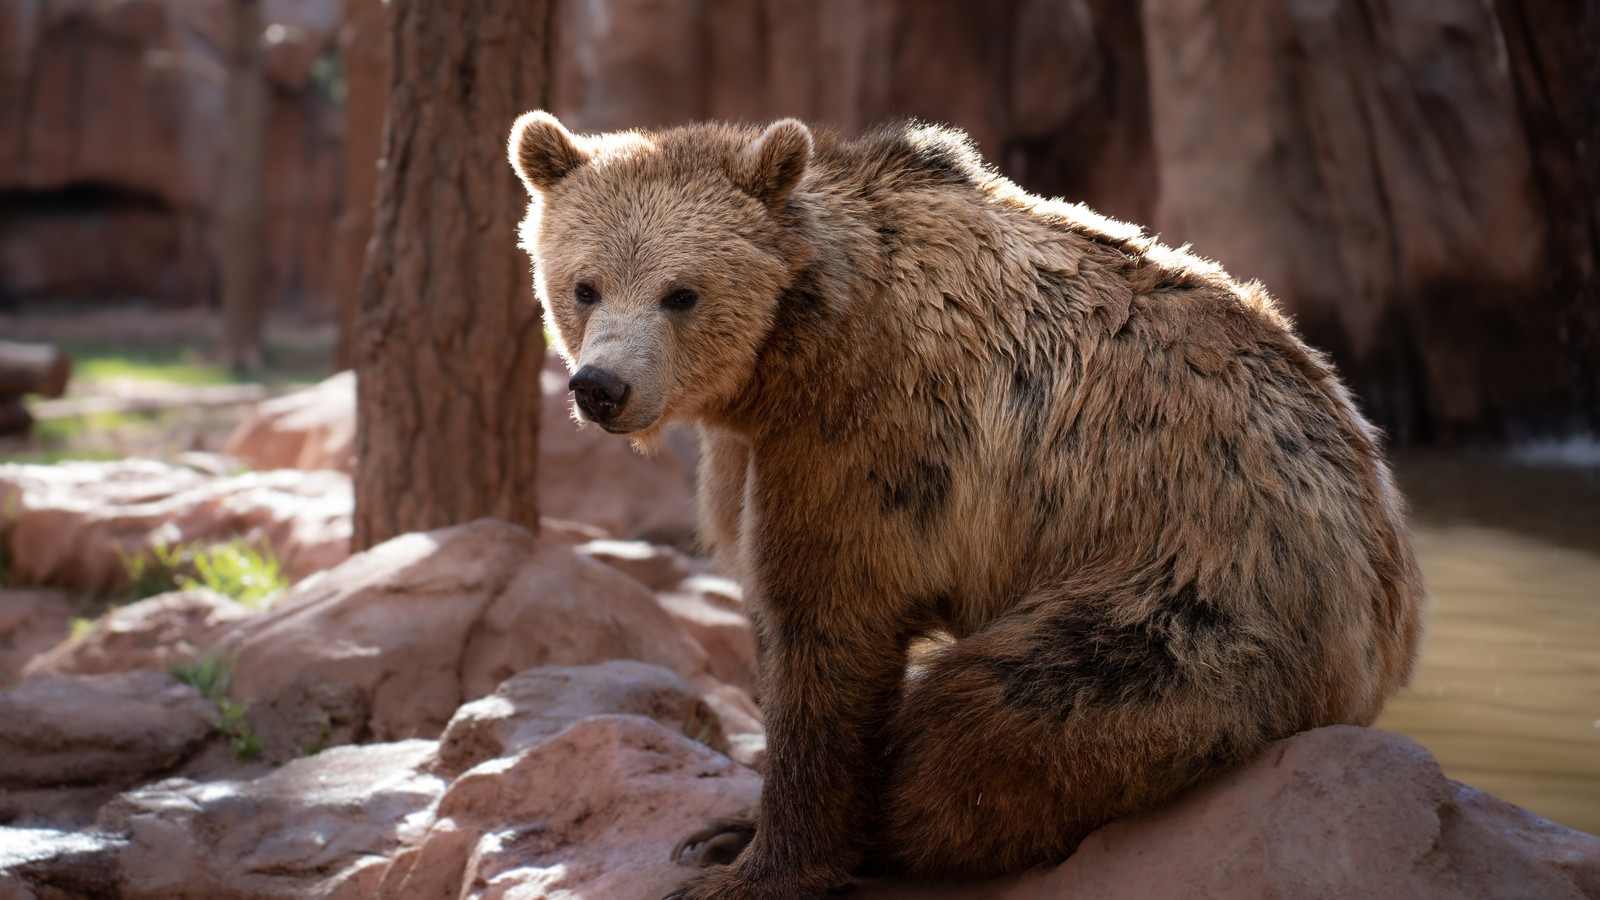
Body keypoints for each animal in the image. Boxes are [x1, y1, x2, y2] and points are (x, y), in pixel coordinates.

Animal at [507, 111, 1426, 900]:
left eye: (682, 292)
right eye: (585, 286)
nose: (601, 387)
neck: (795, 347)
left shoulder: (871, 436)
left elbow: (826, 631)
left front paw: (751, 866)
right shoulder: (759, 452)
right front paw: (729, 830)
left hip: (1196, 599)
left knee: (995, 716)